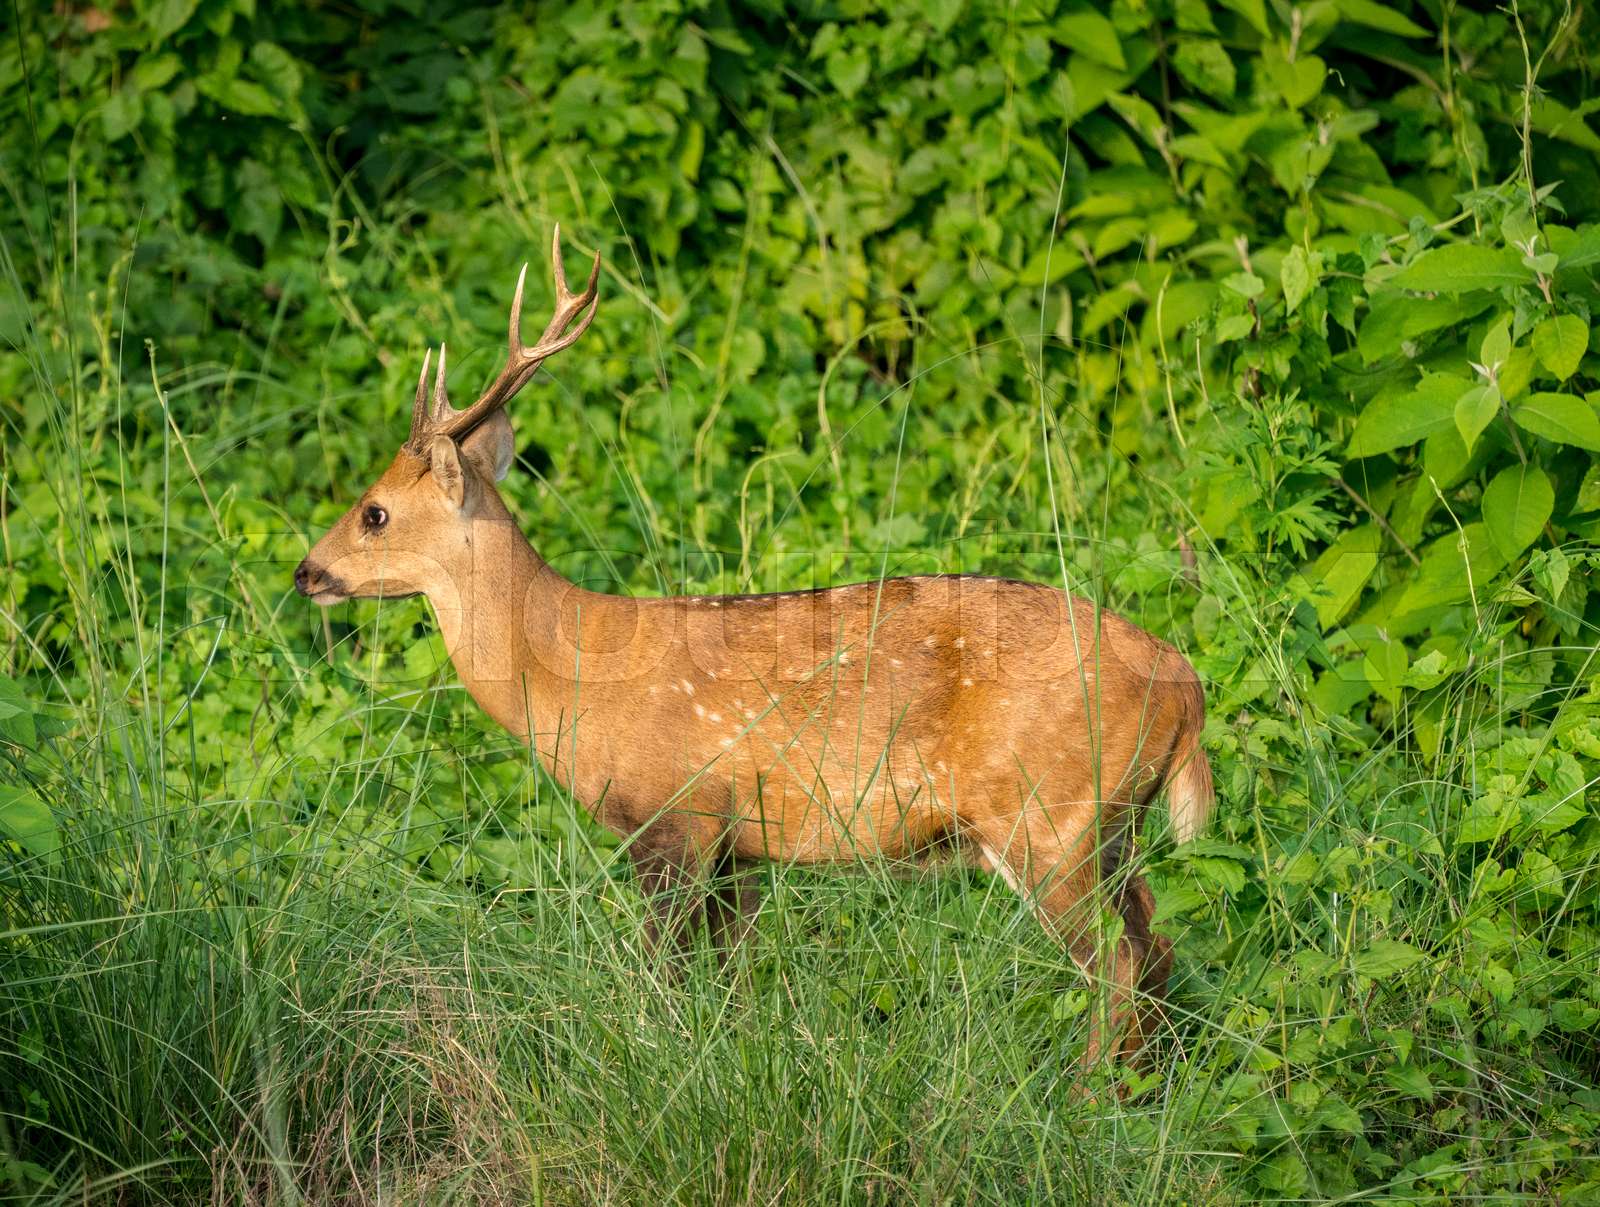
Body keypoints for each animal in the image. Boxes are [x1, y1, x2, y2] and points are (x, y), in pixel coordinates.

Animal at [294, 228, 1214, 1072]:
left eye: (374, 511)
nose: (306, 571)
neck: (571, 673)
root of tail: (1187, 685)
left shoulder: (674, 817)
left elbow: (664, 980)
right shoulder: (740, 844)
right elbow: (732, 980)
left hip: (1047, 813)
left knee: (1118, 960)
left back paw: (1087, 1094)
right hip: (1109, 820)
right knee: (1159, 943)